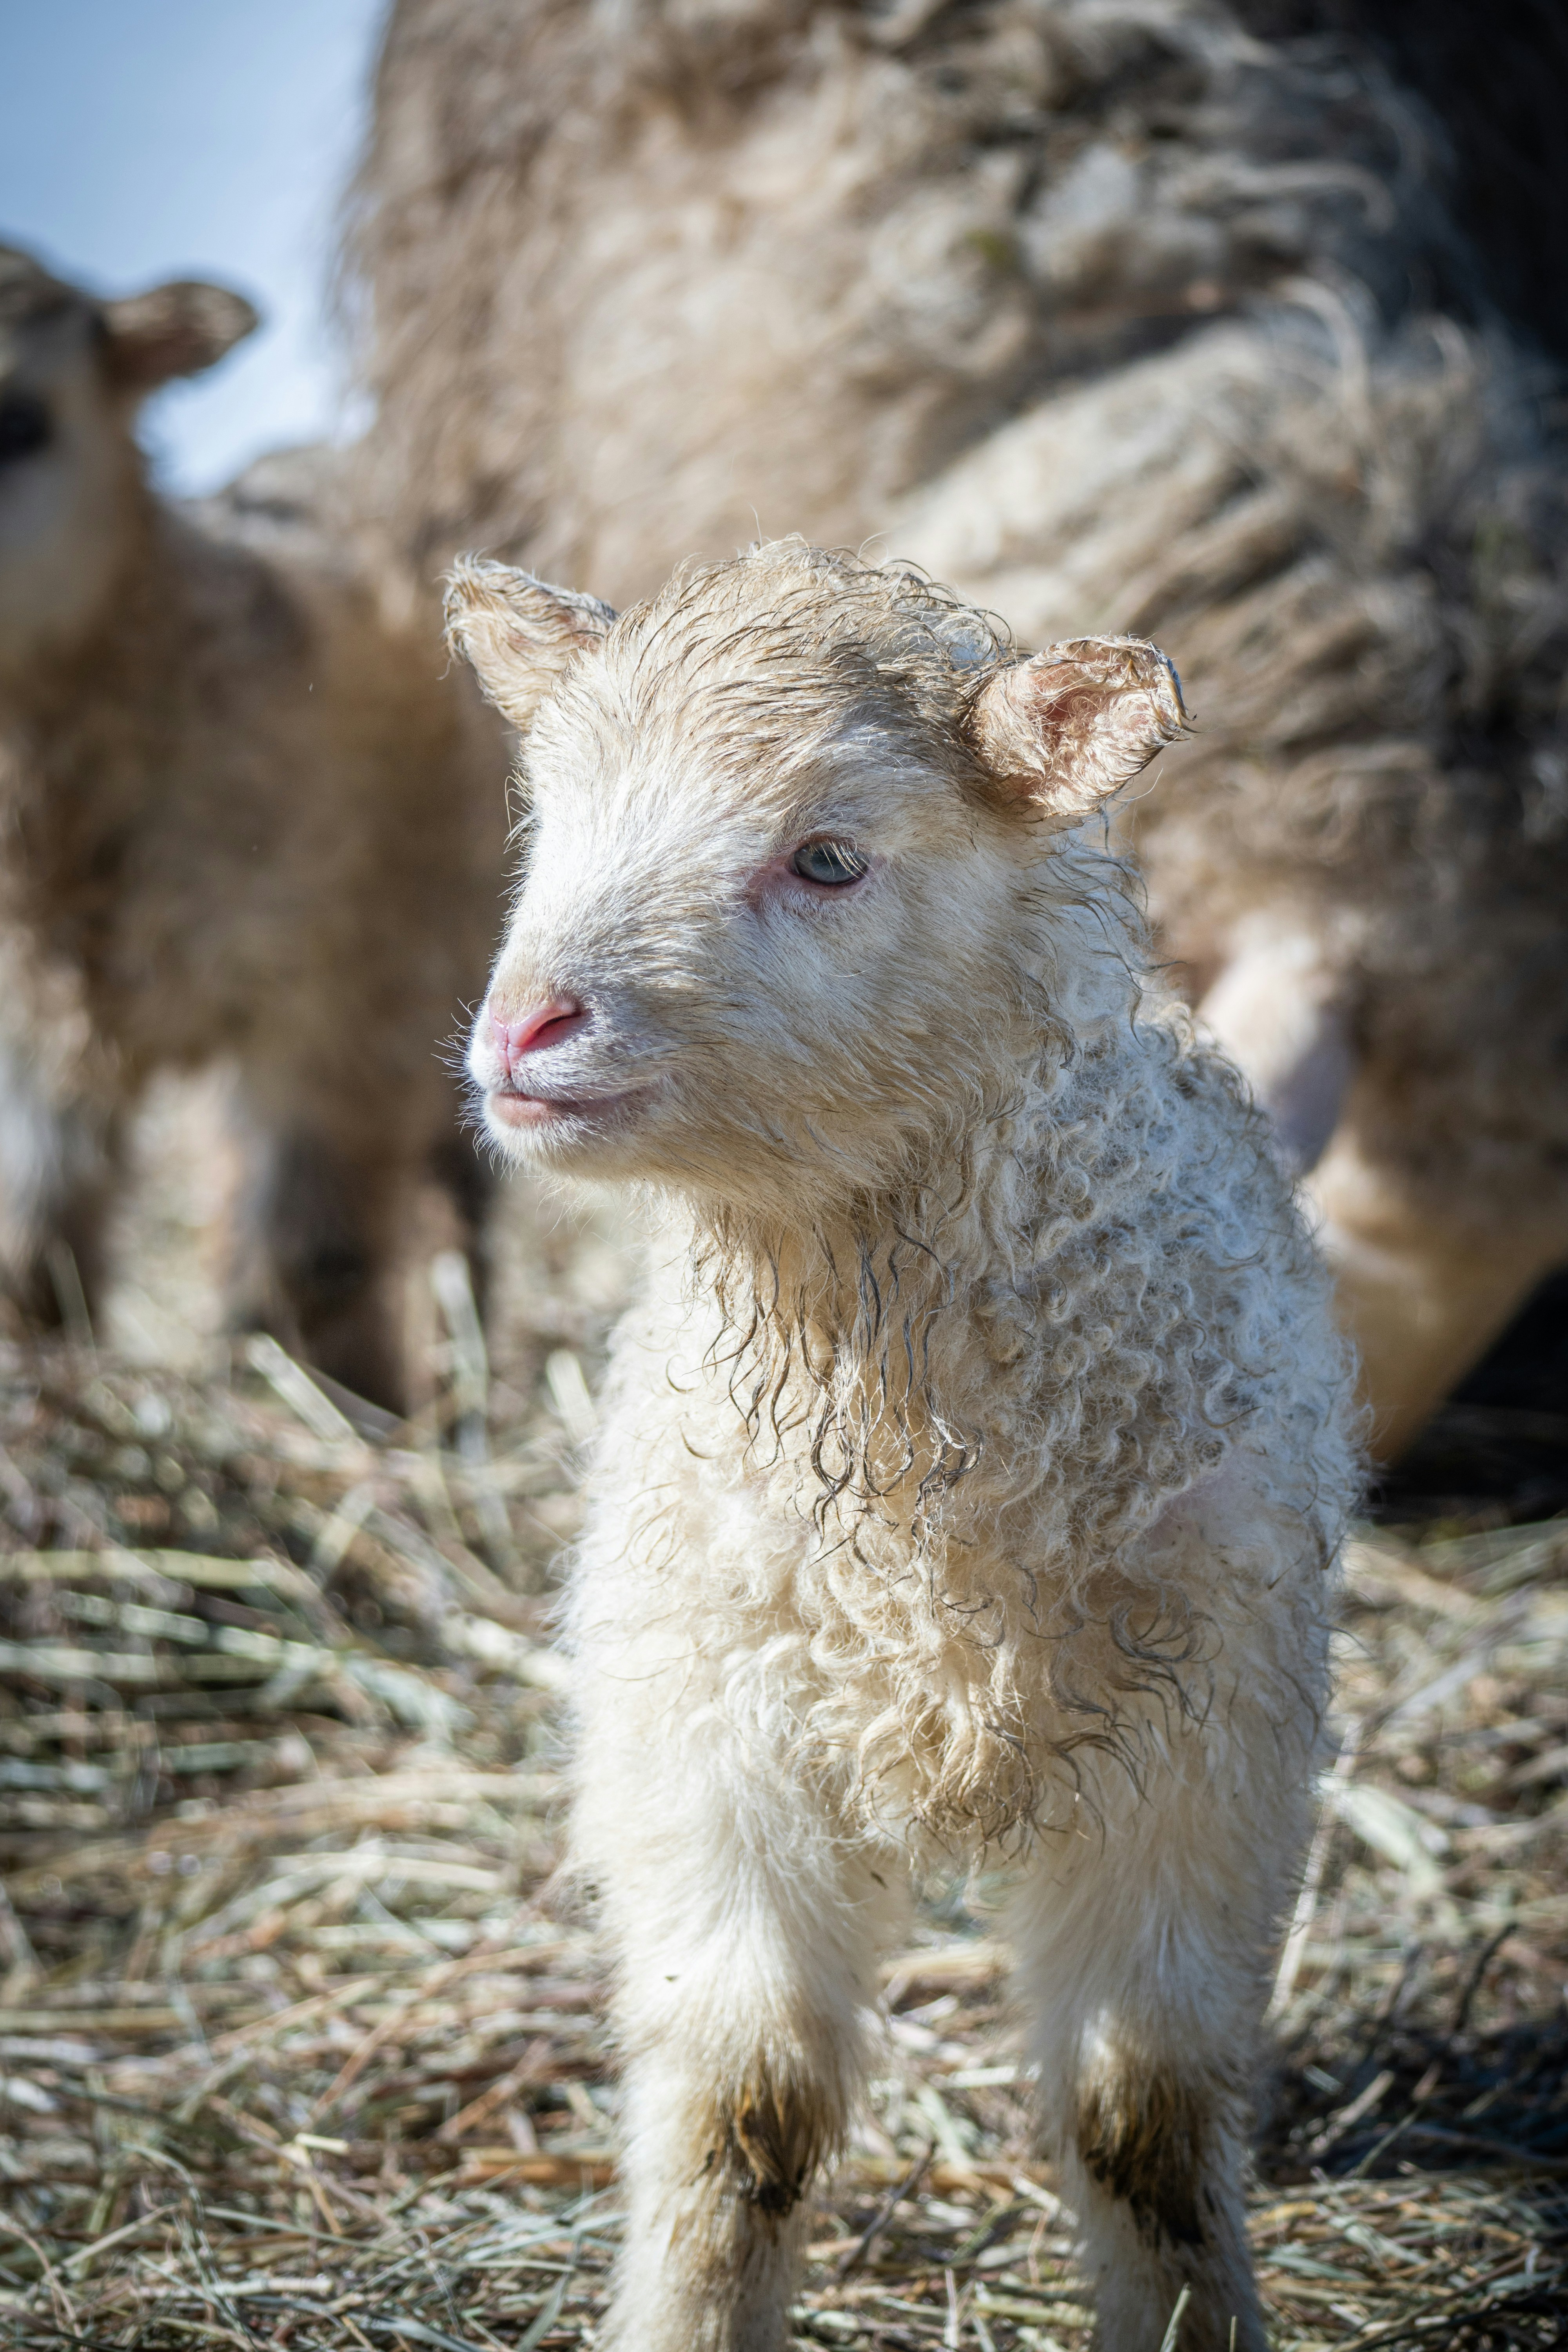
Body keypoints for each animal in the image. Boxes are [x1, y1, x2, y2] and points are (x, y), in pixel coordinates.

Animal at [0, 244, 507, 1408]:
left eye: (25, 422)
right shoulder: (28, 1022)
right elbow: (33, 1229)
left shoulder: (336, 995)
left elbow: (319, 1242)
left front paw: (327, 1400)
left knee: (443, 1202)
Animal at [445, 538, 1360, 2352]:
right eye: (553, 817)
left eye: (828, 855)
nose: (526, 1034)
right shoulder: (709, 1727)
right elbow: (747, 2102)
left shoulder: (1206, 1742)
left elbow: (1141, 2111)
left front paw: (1192, 2311)